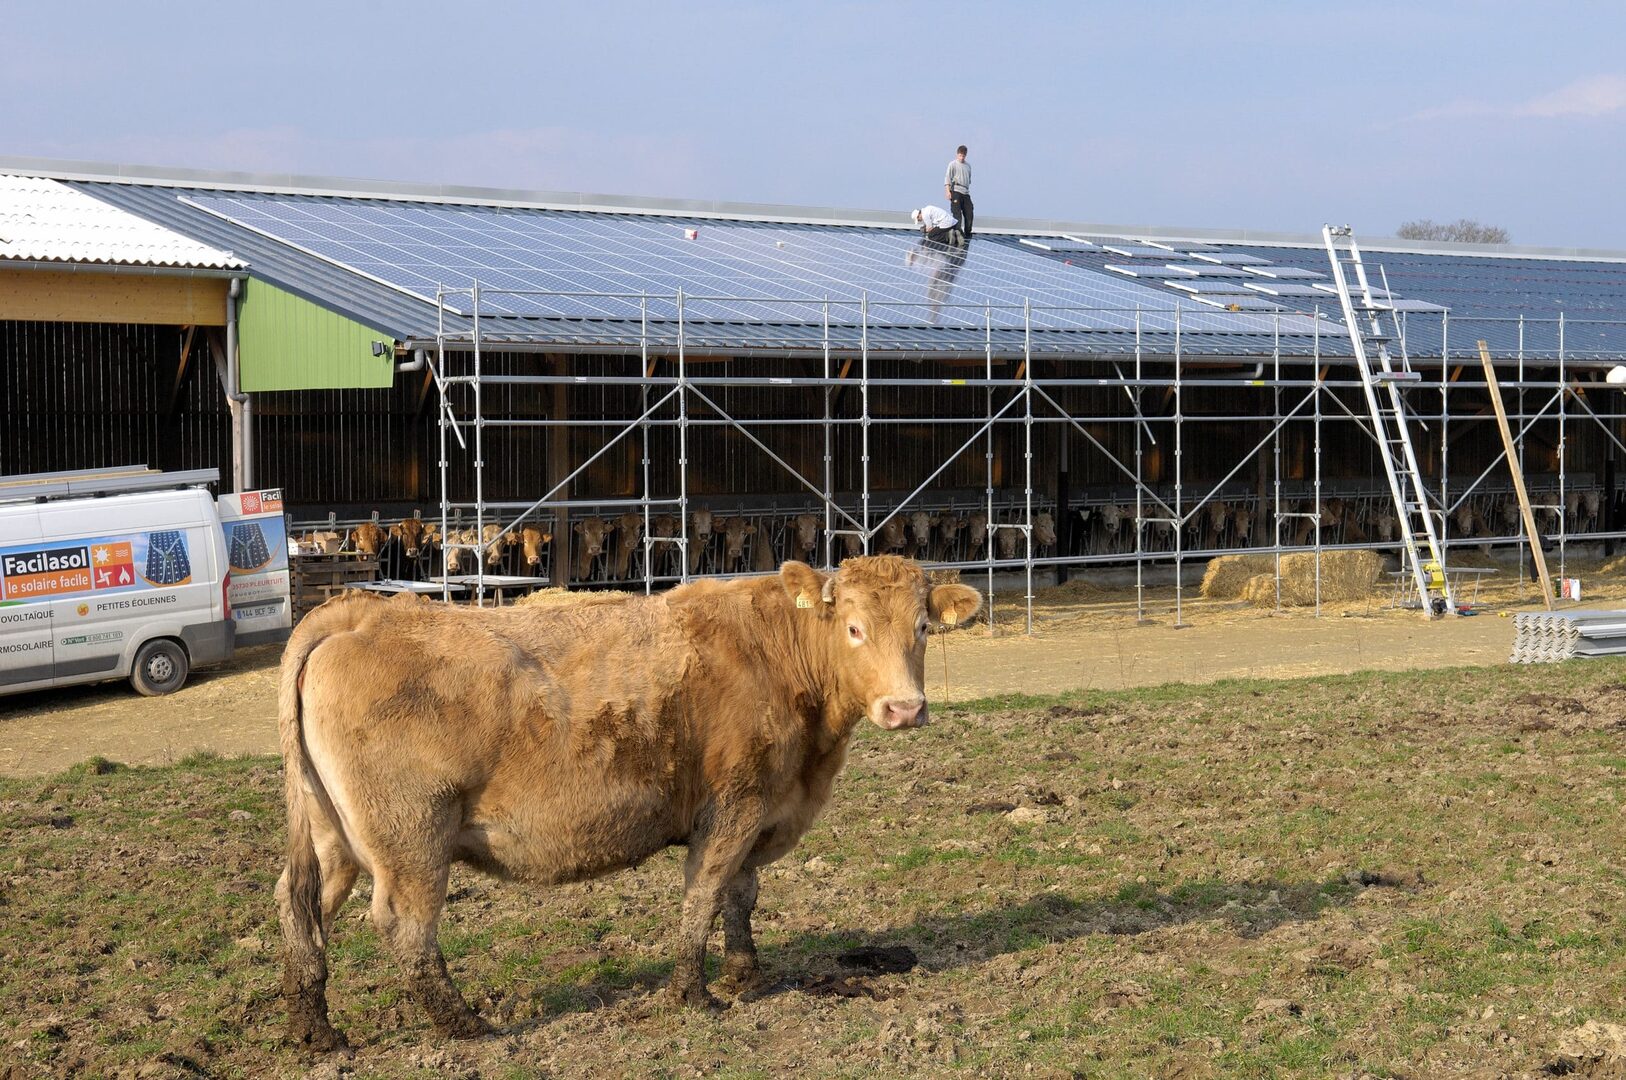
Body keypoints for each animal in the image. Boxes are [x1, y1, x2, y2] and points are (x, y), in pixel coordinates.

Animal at [274, 556, 975, 1047]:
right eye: (854, 628)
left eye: (921, 628)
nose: (905, 708)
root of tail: (366, 613)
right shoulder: (734, 806)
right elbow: (705, 892)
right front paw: (692, 995)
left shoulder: (760, 811)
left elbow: (740, 895)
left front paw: (746, 973)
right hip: (412, 837)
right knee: (405, 925)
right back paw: (465, 1025)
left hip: (334, 836)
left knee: (300, 904)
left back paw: (314, 1030)